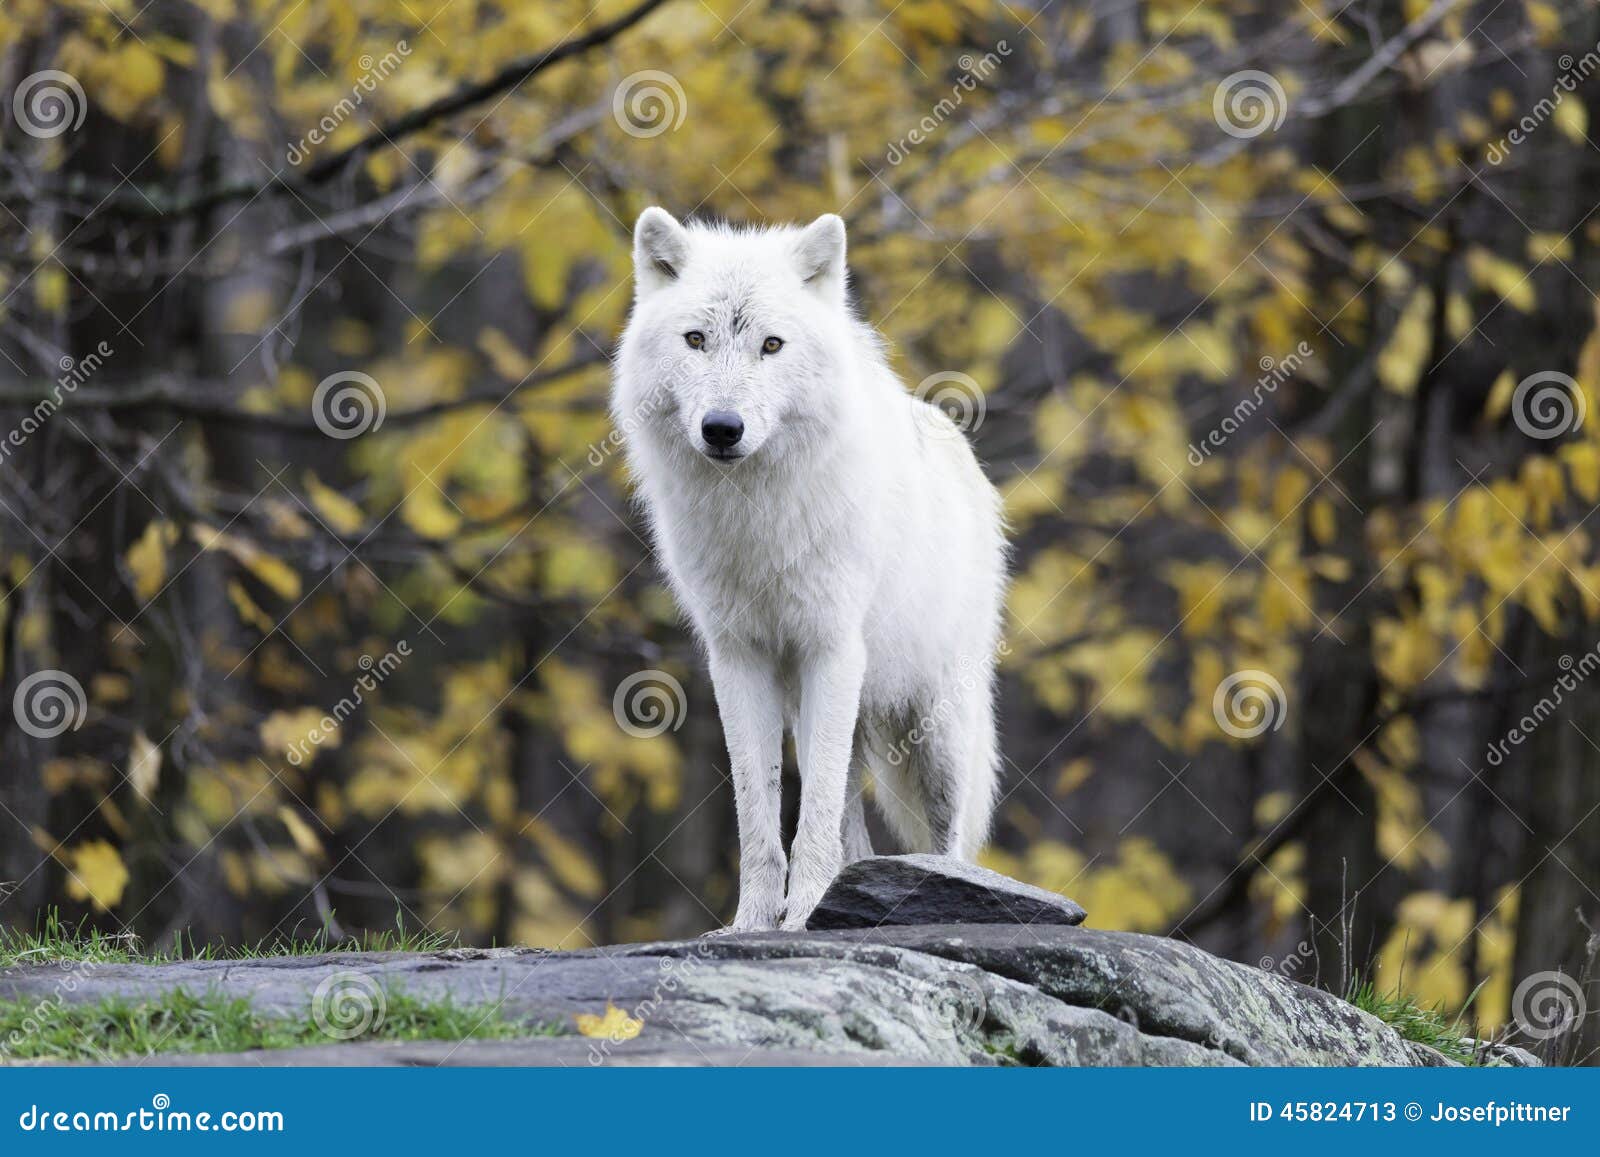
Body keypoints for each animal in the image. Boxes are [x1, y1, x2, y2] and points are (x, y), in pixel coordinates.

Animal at [612, 207, 1008, 931]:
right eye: (695, 340)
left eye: (772, 345)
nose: (722, 428)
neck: (755, 516)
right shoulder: (738, 656)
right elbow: (759, 813)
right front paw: (753, 924)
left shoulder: (832, 648)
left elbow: (813, 816)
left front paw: (798, 921)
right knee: (857, 832)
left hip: (936, 724)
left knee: (951, 838)